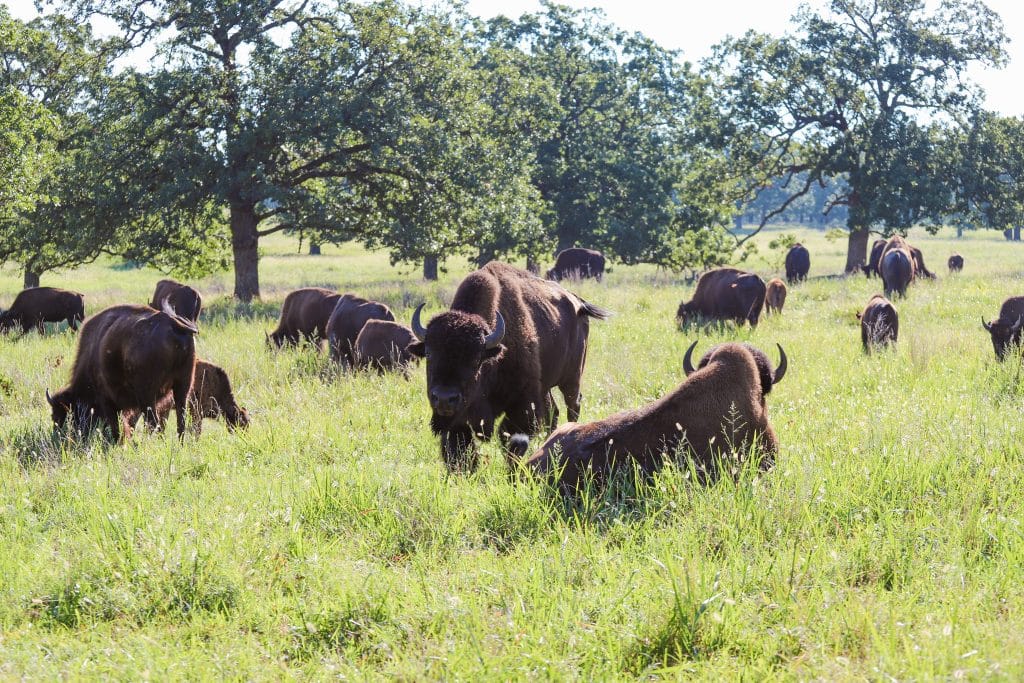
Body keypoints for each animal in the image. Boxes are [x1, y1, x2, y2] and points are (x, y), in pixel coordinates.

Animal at [46, 303, 198, 441]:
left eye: (57, 415)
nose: (57, 435)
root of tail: (173, 323)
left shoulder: (107, 400)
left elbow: (116, 425)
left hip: (147, 396)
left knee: (153, 423)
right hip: (183, 387)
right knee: (180, 421)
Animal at [408, 261, 609, 472]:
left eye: (477, 359)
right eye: (429, 353)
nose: (444, 399)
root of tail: (577, 302)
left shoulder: (522, 404)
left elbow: (511, 443)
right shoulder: (458, 419)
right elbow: (461, 450)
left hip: (572, 379)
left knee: (573, 407)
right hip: (545, 386)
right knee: (553, 412)